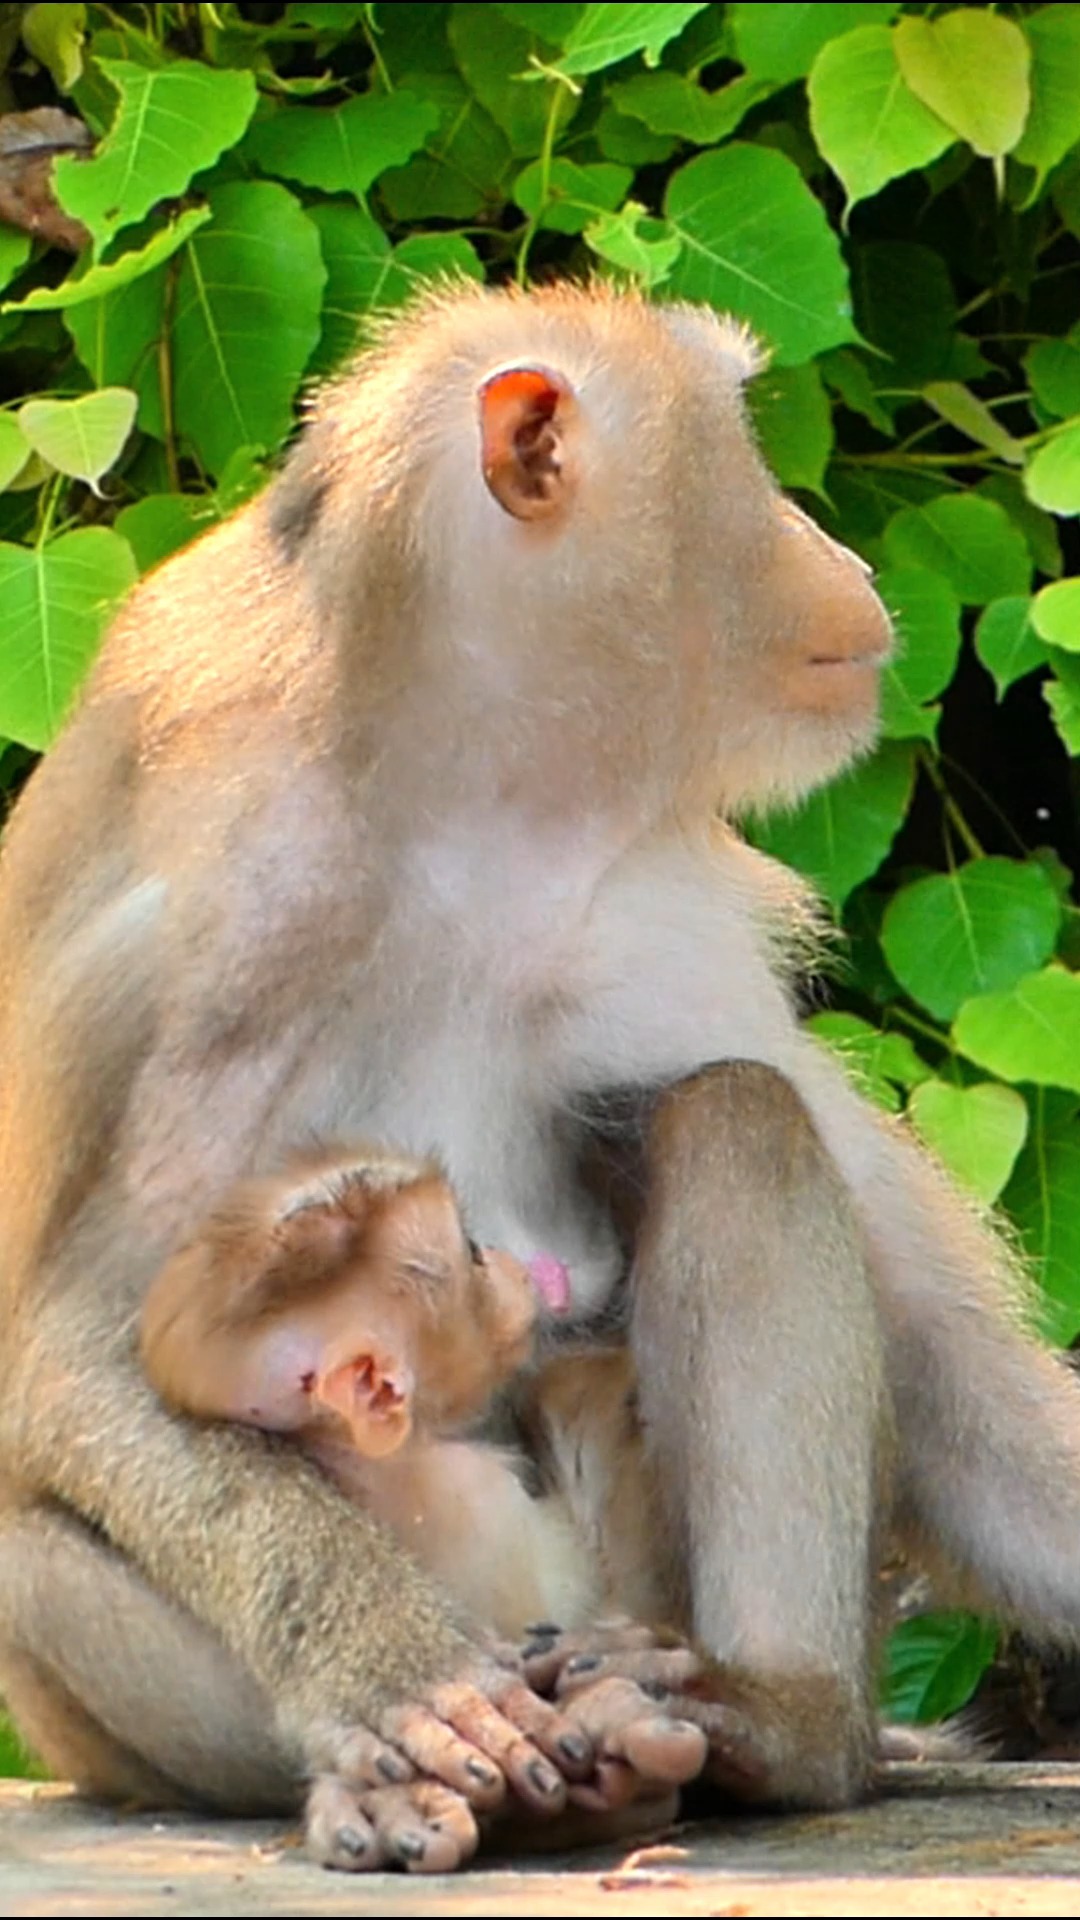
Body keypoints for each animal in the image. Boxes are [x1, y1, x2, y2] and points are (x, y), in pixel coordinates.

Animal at [2, 280, 1080, 1874]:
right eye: (747, 453)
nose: (839, 552)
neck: (462, 779)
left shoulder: (645, 895)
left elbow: (941, 1354)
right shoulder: (239, 907)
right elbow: (69, 1359)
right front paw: (393, 1670)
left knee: (740, 1118)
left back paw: (774, 1723)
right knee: (29, 1535)